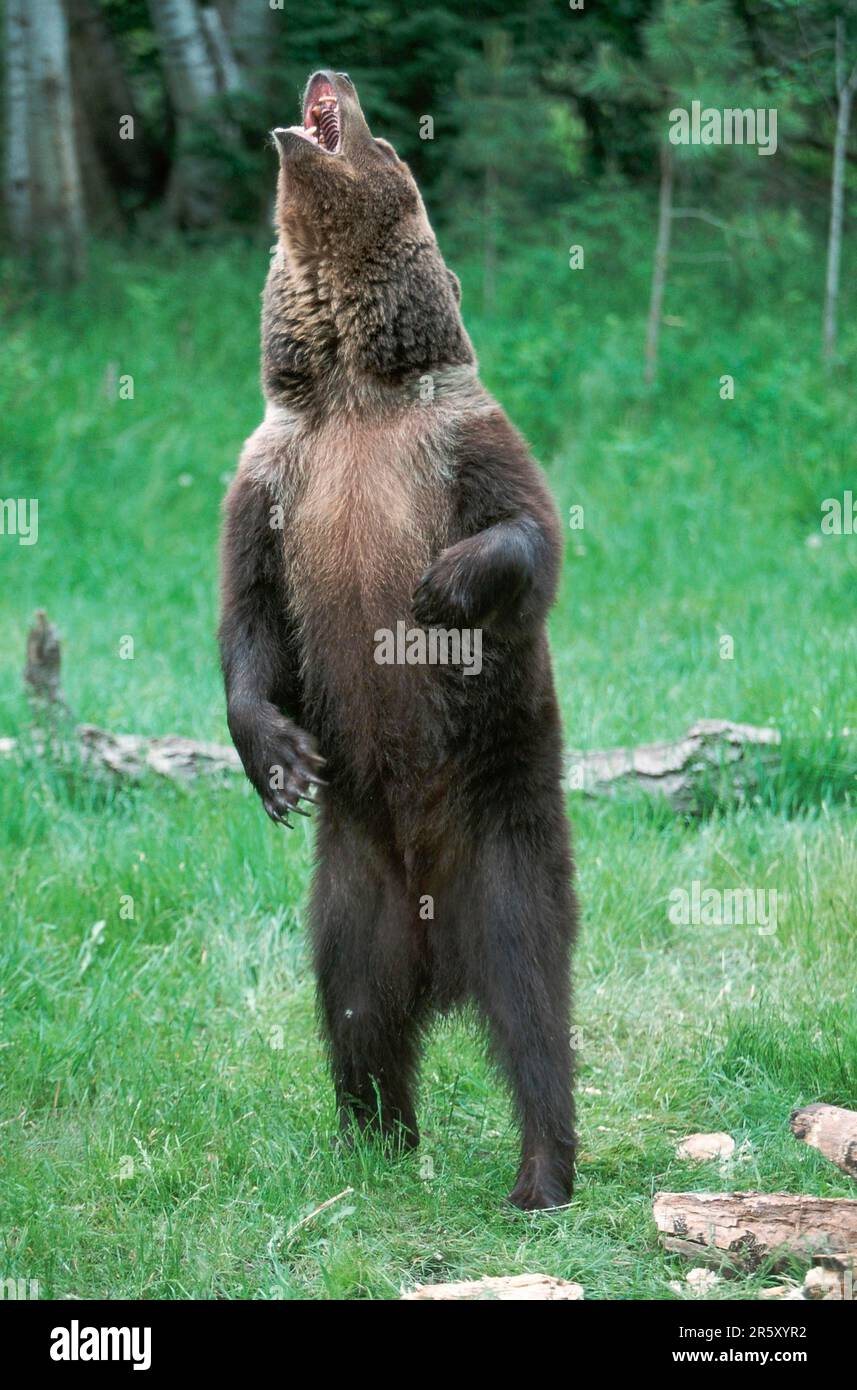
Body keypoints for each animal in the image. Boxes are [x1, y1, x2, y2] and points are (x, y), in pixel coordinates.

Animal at [218, 70, 577, 1210]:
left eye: (381, 140)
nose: (322, 80)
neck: (350, 391)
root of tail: (438, 955)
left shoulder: (457, 444)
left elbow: (526, 532)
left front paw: (438, 589)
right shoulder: (273, 481)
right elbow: (249, 622)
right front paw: (278, 760)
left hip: (502, 835)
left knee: (531, 1002)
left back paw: (539, 1171)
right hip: (354, 886)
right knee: (356, 1006)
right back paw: (369, 1137)